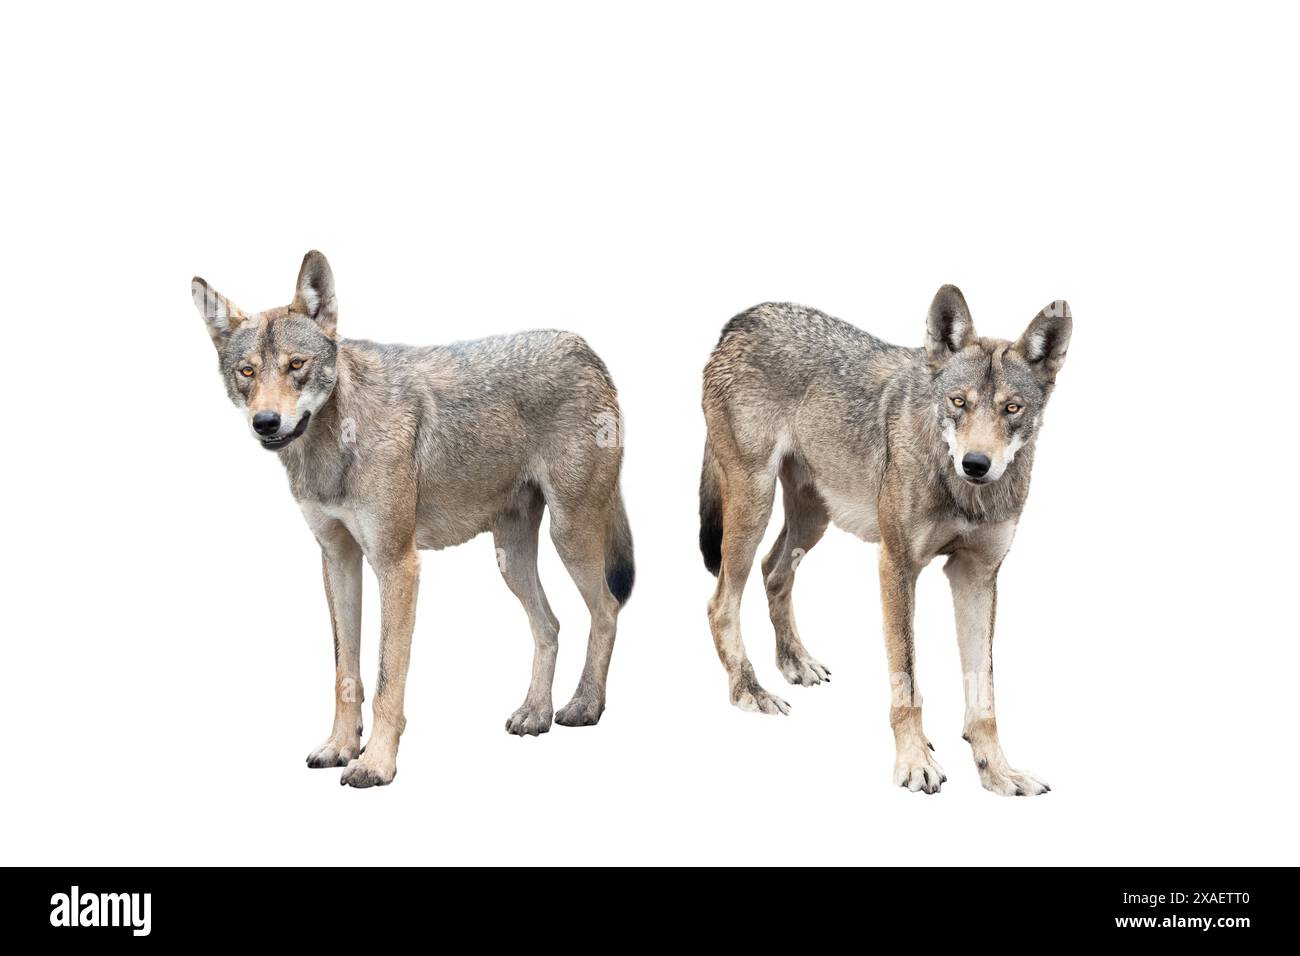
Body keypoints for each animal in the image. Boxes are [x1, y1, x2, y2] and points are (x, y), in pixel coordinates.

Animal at [191, 251, 633, 787]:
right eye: (247, 372)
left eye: (296, 365)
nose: (266, 423)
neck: (336, 444)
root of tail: (584, 347)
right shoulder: (338, 560)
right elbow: (345, 673)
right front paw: (340, 747)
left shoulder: (397, 564)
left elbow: (387, 679)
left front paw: (375, 764)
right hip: (510, 559)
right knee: (549, 625)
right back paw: (535, 714)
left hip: (570, 534)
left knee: (606, 609)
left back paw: (585, 705)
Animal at [699, 285, 1070, 795]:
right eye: (958, 402)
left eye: (1011, 408)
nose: (975, 464)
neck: (964, 493)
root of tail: (742, 319)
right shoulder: (896, 564)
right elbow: (907, 678)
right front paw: (915, 763)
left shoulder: (976, 575)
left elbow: (984, 695)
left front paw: (998, 771)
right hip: (754, 507)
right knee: (720, 602)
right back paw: (749, 691)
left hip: (813, 519)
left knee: (773, 572)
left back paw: (795, 662)